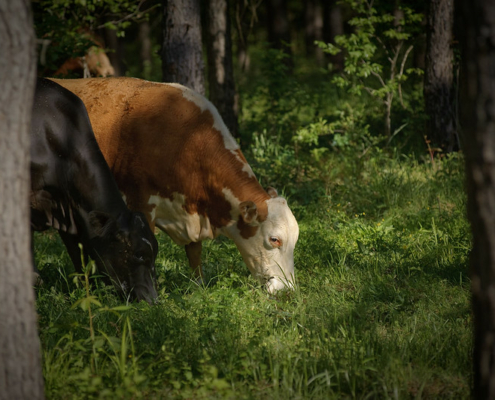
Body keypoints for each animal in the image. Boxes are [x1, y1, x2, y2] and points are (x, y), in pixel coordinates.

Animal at [52, 76, 300, 294]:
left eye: (295, 239)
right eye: (274, 239)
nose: (287, 289)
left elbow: (195, 253)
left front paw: (199, 288)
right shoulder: (141, 204)